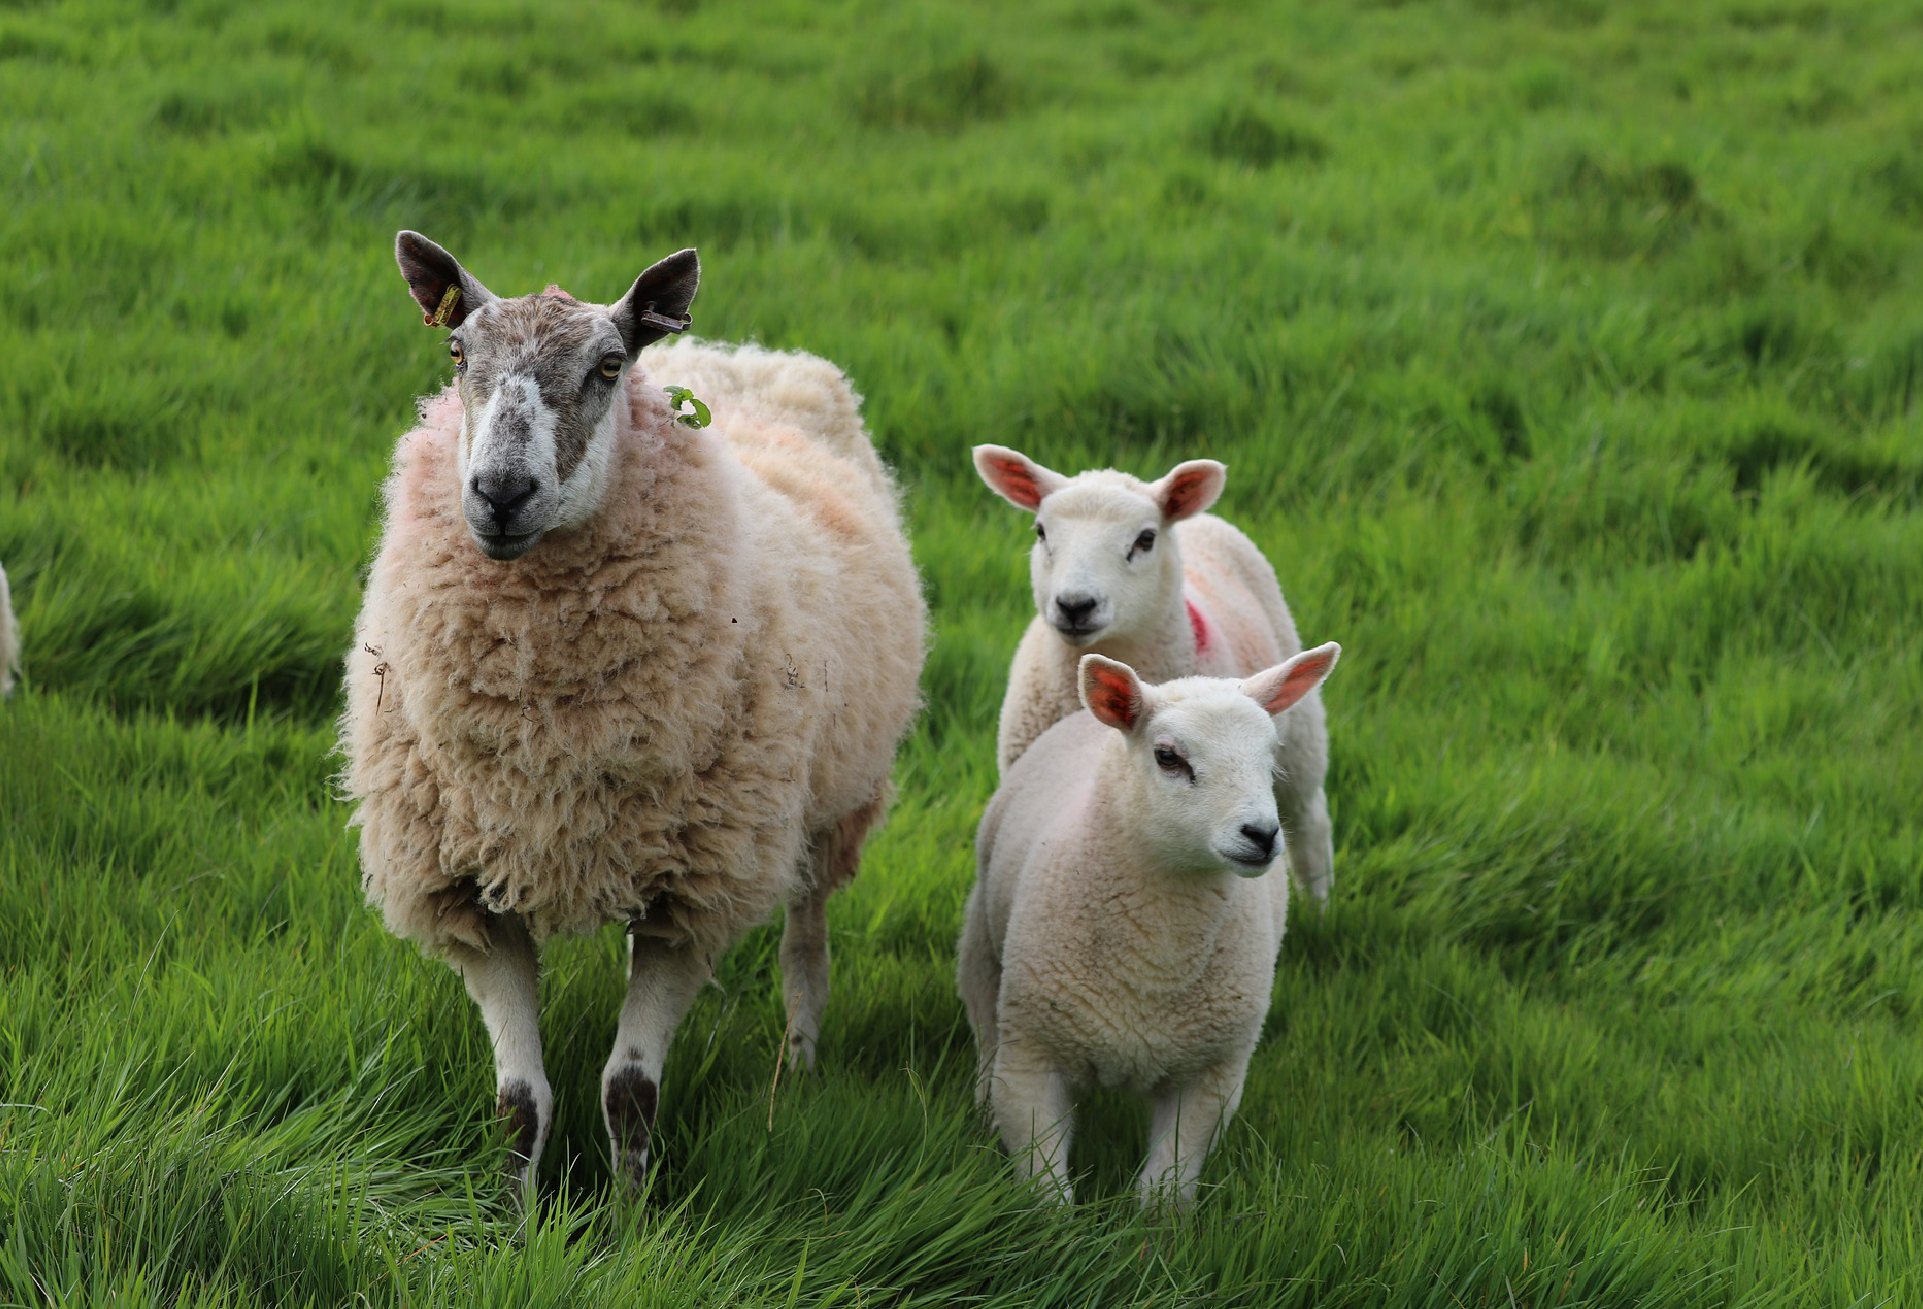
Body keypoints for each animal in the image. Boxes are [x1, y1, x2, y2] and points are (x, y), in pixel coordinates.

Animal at [339, 232, 927, 1197]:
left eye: (607, 367)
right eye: (457, 354)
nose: (499, 492)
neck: (548, 734)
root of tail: (741, 354)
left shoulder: (692, 895)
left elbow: (628, 1092)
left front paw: (628, 1216)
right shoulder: (468, 890)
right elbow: (520, 1100)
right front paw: (515, 1217)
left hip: (831, 799)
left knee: (805, 939)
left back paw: (800, 1065)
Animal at [958, 644, 1340, 1210]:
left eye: (1271, 757)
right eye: (1168, 757)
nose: (1262, 834)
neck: (1156, 958)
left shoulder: (1211, 1075)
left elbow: (1167, 1190)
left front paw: (1155, 1230)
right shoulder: (1032, 1057)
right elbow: (1046, 1190)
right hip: (983, 946)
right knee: (984, 1022)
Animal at [971, 446, 1336, 905]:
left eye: (1145, 539)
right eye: (1040, 531)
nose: (1075, 605)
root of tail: (1200, 519)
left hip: (1302, 740)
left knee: (1310, 822)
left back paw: (1319, 906)